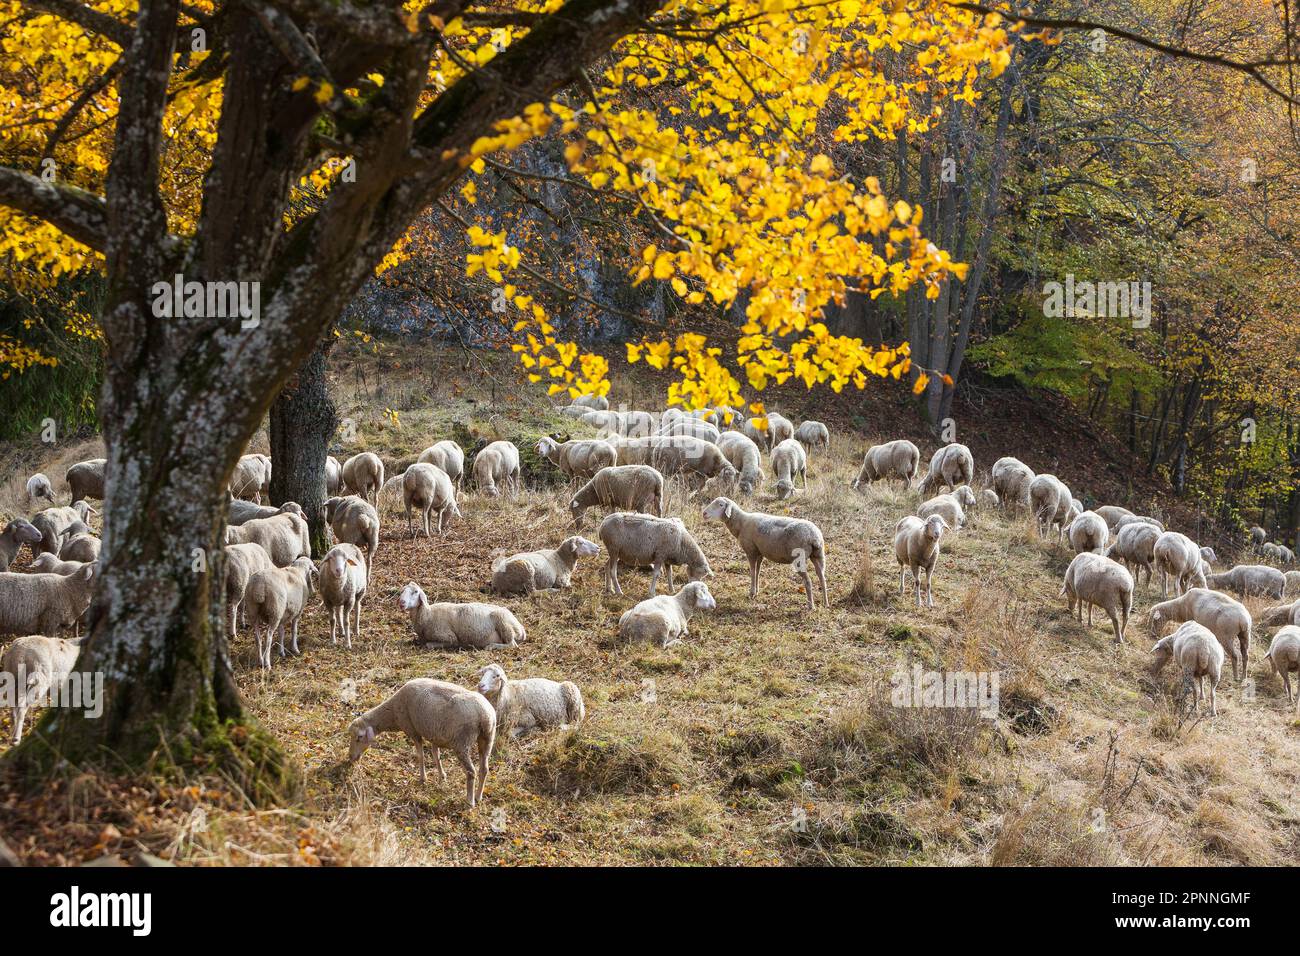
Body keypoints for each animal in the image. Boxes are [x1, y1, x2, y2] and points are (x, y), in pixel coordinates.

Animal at [347, 678, 496, 807]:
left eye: (359, 737)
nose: (351, 758)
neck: (393, 713)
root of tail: (485, 715)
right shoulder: (434, 733)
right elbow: (436, 755)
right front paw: (442, 776)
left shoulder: (413, 731)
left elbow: (421, 756)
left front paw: (423, 778)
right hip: (488, 738)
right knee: (484, 769)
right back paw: (479, 796)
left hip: (462, 743)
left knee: (471, 772)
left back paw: (470, 801)